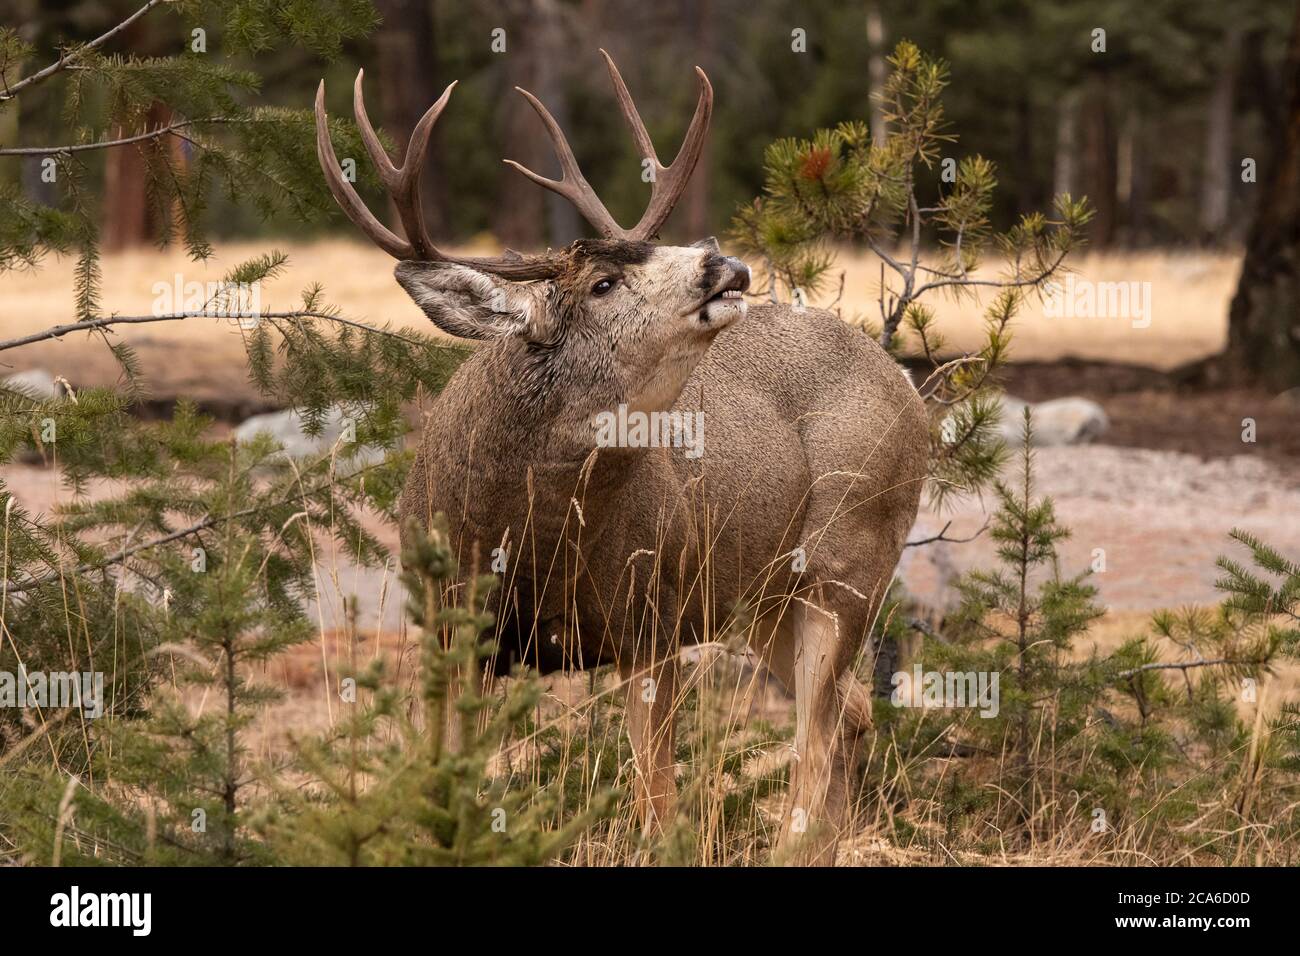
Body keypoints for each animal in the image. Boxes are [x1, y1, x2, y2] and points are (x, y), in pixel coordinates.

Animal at [314, 50, 929, 865]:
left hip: (849, 558)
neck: (526, 536)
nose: (719, 264)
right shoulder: (448, 630)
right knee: (852, 717)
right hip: (766, 598)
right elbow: (449, 787)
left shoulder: (654, 620)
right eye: (603, 282)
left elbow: (657, 806)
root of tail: (904, 379)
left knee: (817, 742)